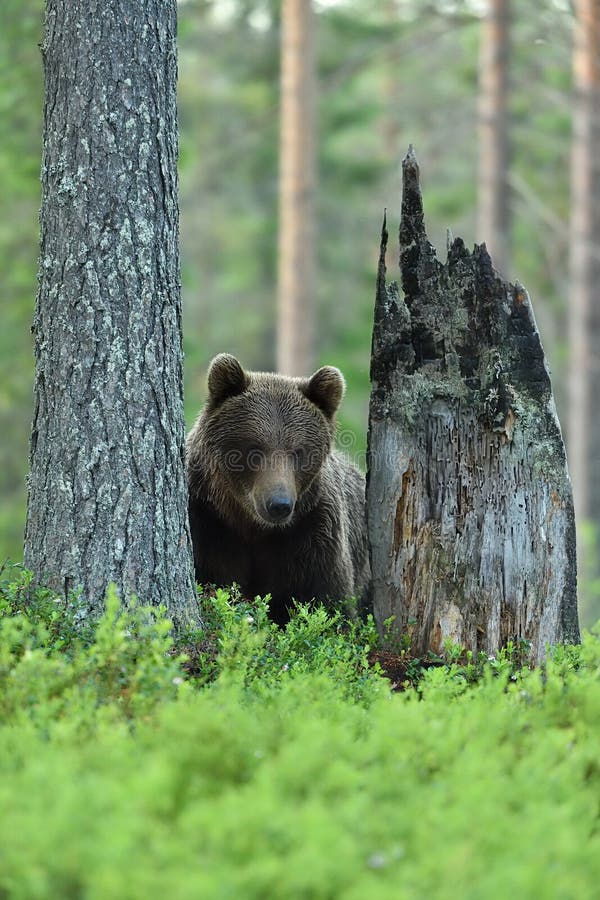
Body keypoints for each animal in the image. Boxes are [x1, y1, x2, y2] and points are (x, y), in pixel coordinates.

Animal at [186, 353, 369, 624]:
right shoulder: (209, 522)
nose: (279, 505)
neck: (253, 527)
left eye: (298, 451)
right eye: (254, 449)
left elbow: (328, 603)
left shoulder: (312, 536)